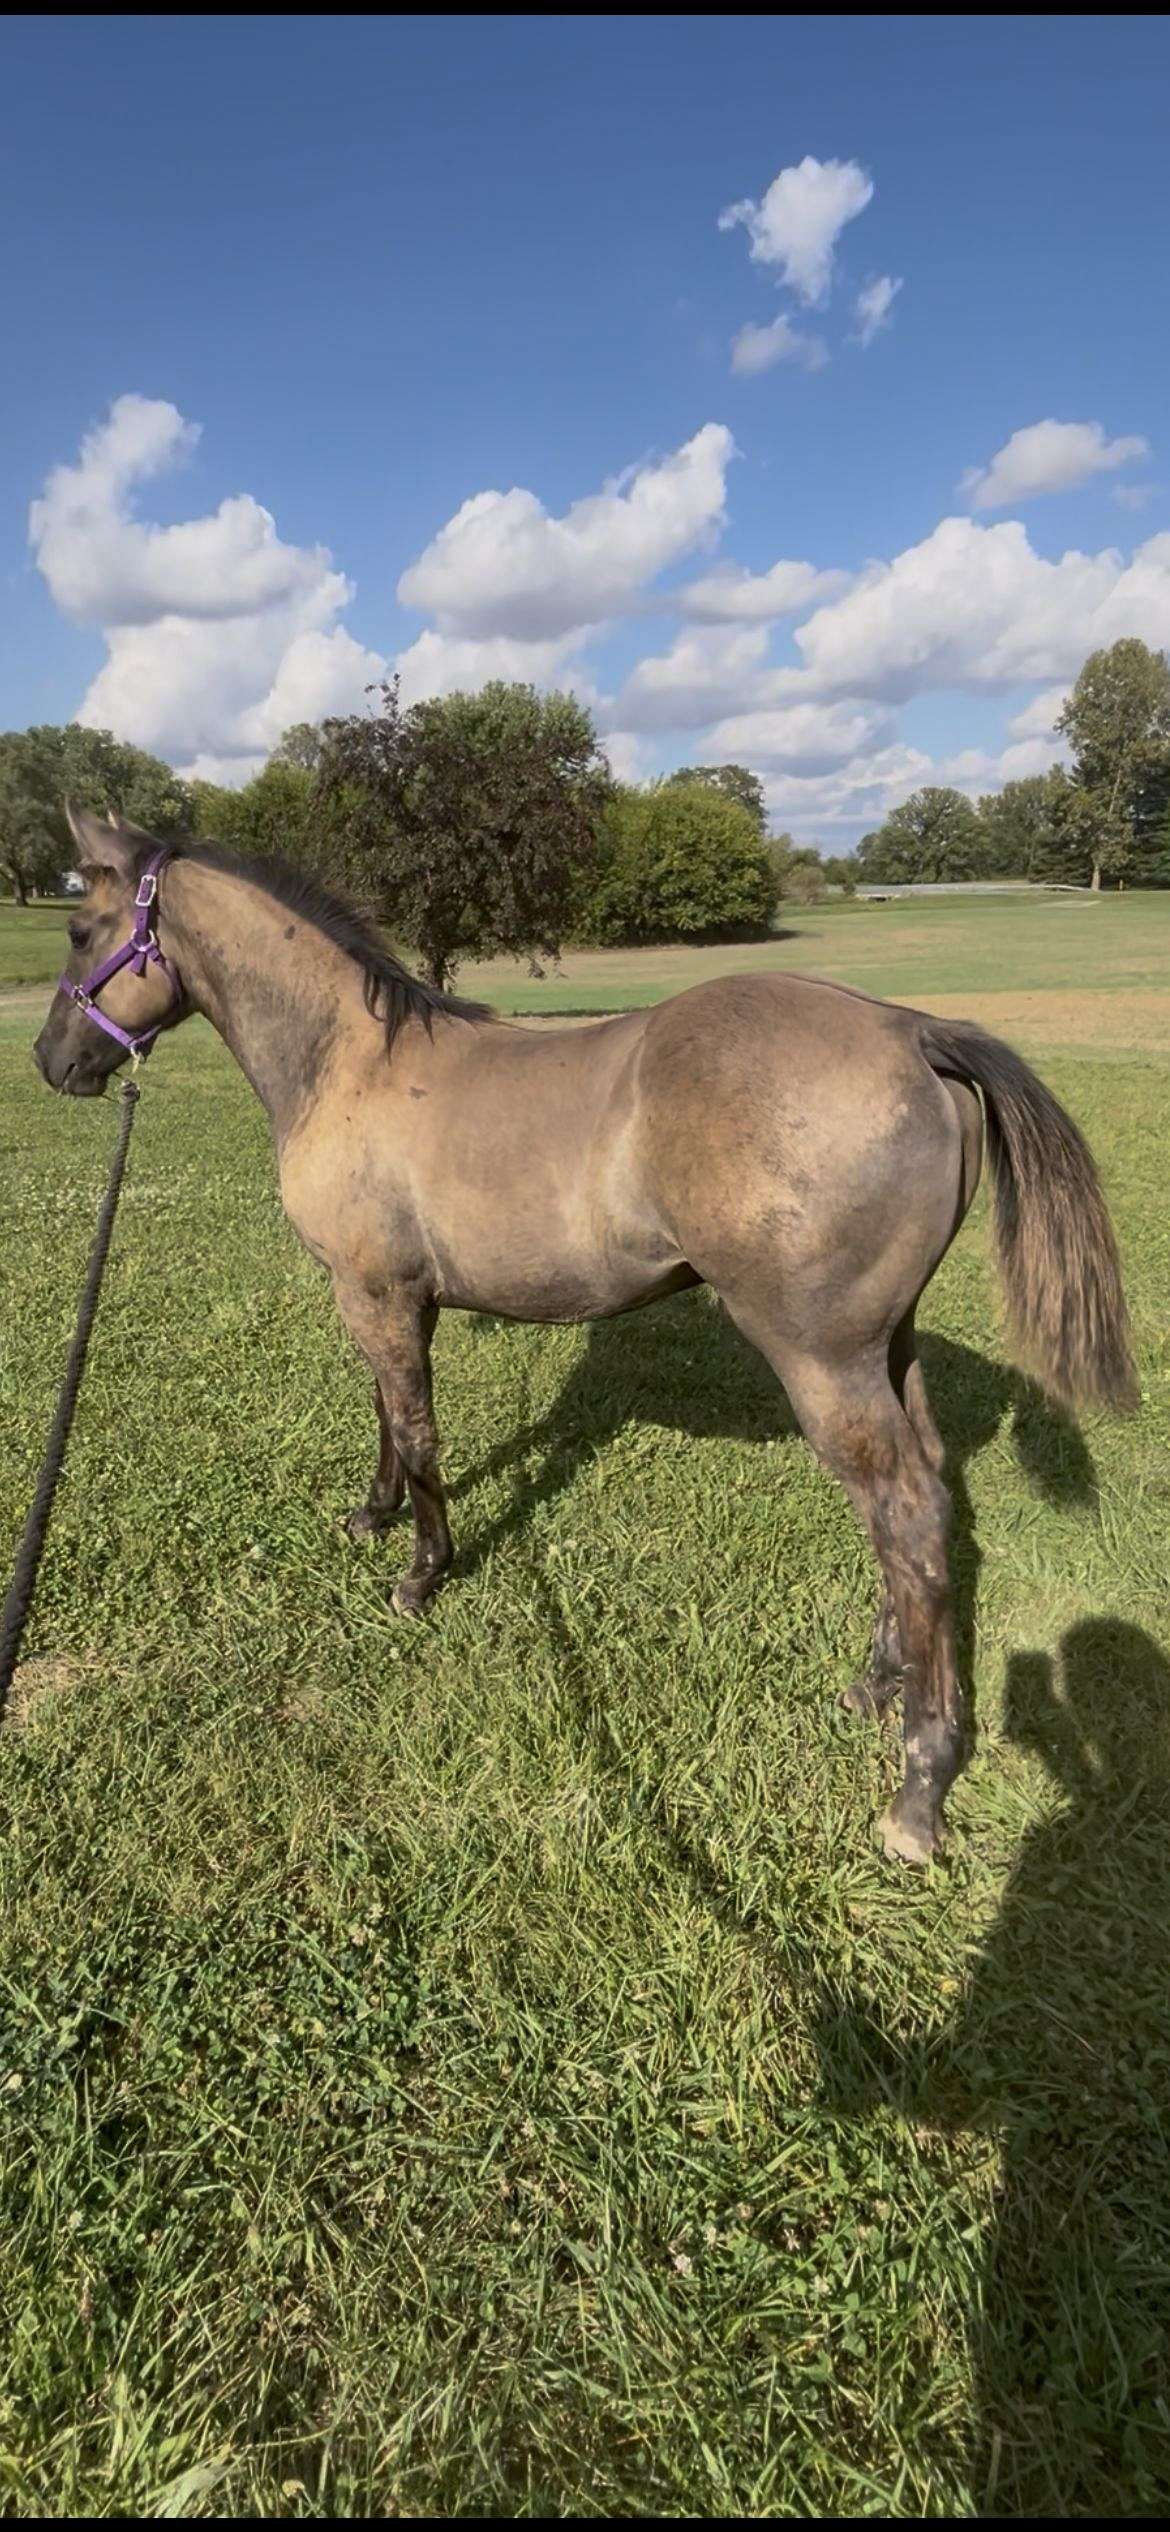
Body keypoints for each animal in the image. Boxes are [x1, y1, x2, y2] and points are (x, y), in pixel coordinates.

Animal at [32, 803, 1136, 1865]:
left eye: (82, 928)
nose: (53, 1061)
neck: (349, 1065)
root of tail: (909, 1032)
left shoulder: (375, 1294)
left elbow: (417, 1429)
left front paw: (421, 1573)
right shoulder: (384, 1295)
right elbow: (387, 1414)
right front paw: (373, 1516)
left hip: (825, 1363)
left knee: (902, 1512)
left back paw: (919, 1786)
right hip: (885, 1348)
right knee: (923, 1504)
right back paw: (879, 1683)